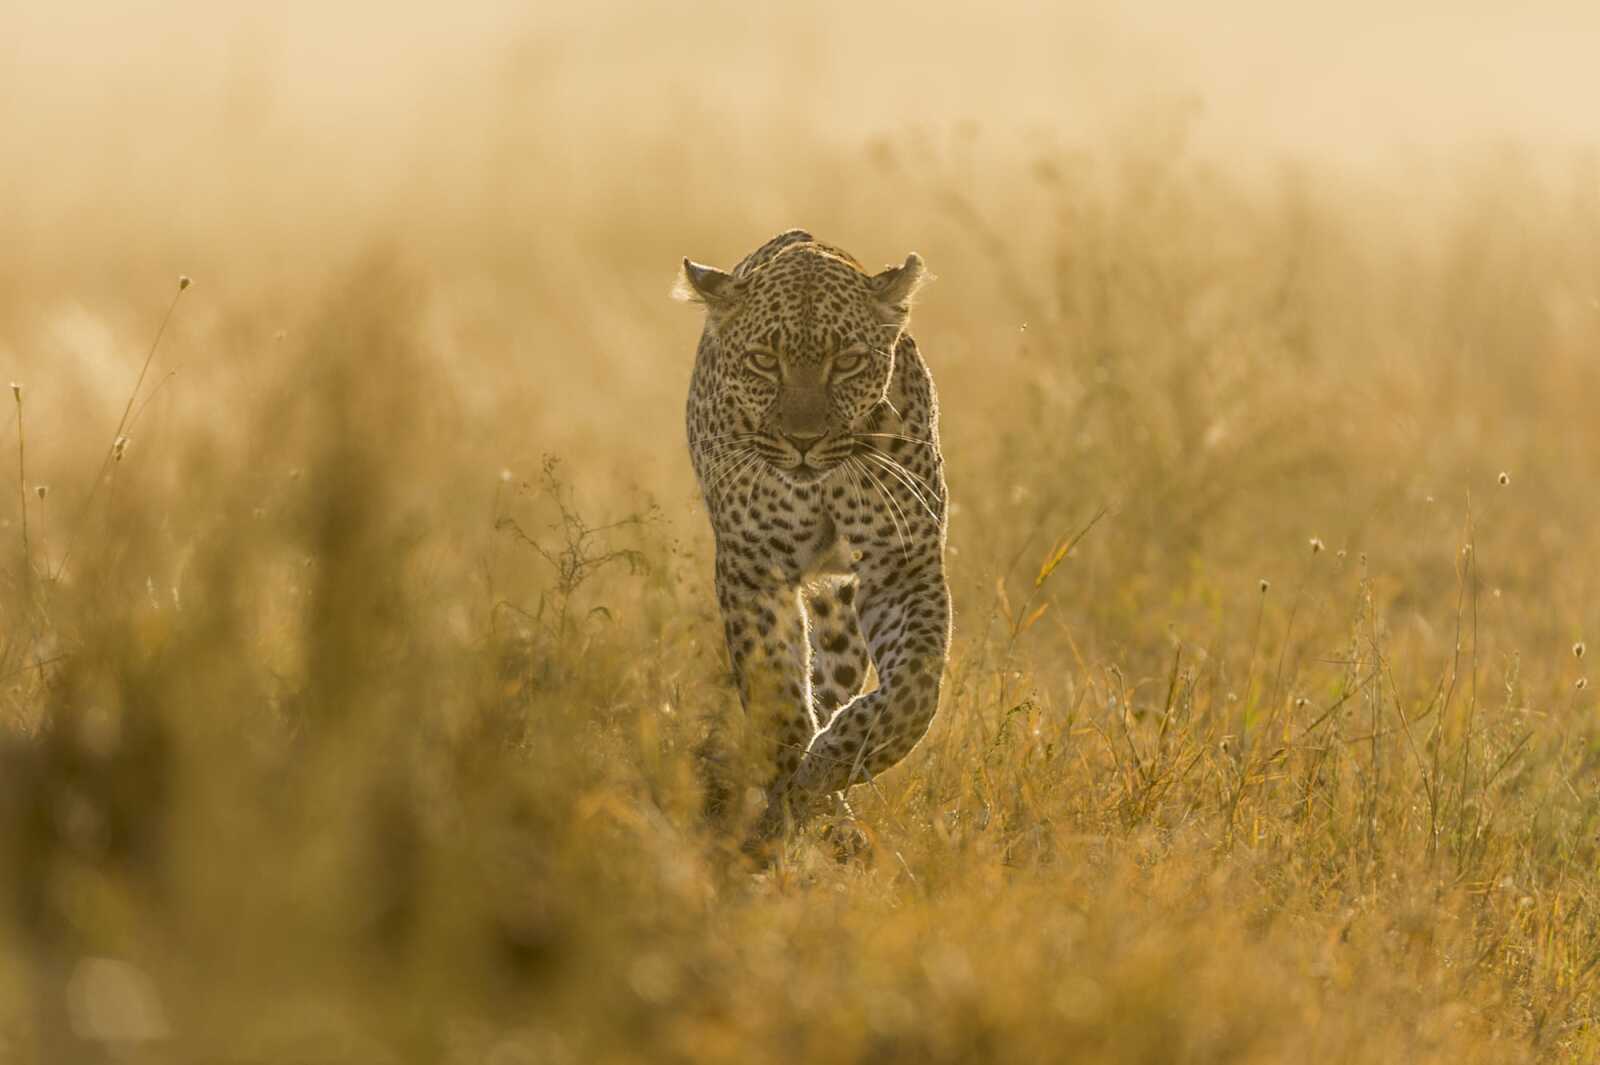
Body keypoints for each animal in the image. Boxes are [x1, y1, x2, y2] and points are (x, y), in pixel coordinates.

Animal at [675, 229, 951, 846]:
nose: (803, 442)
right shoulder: (753, 568)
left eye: (846, 362)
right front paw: (788, 789)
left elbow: (916, 689)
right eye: (763, 361)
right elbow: (776, 689)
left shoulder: (903, 564)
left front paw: (829, 764)